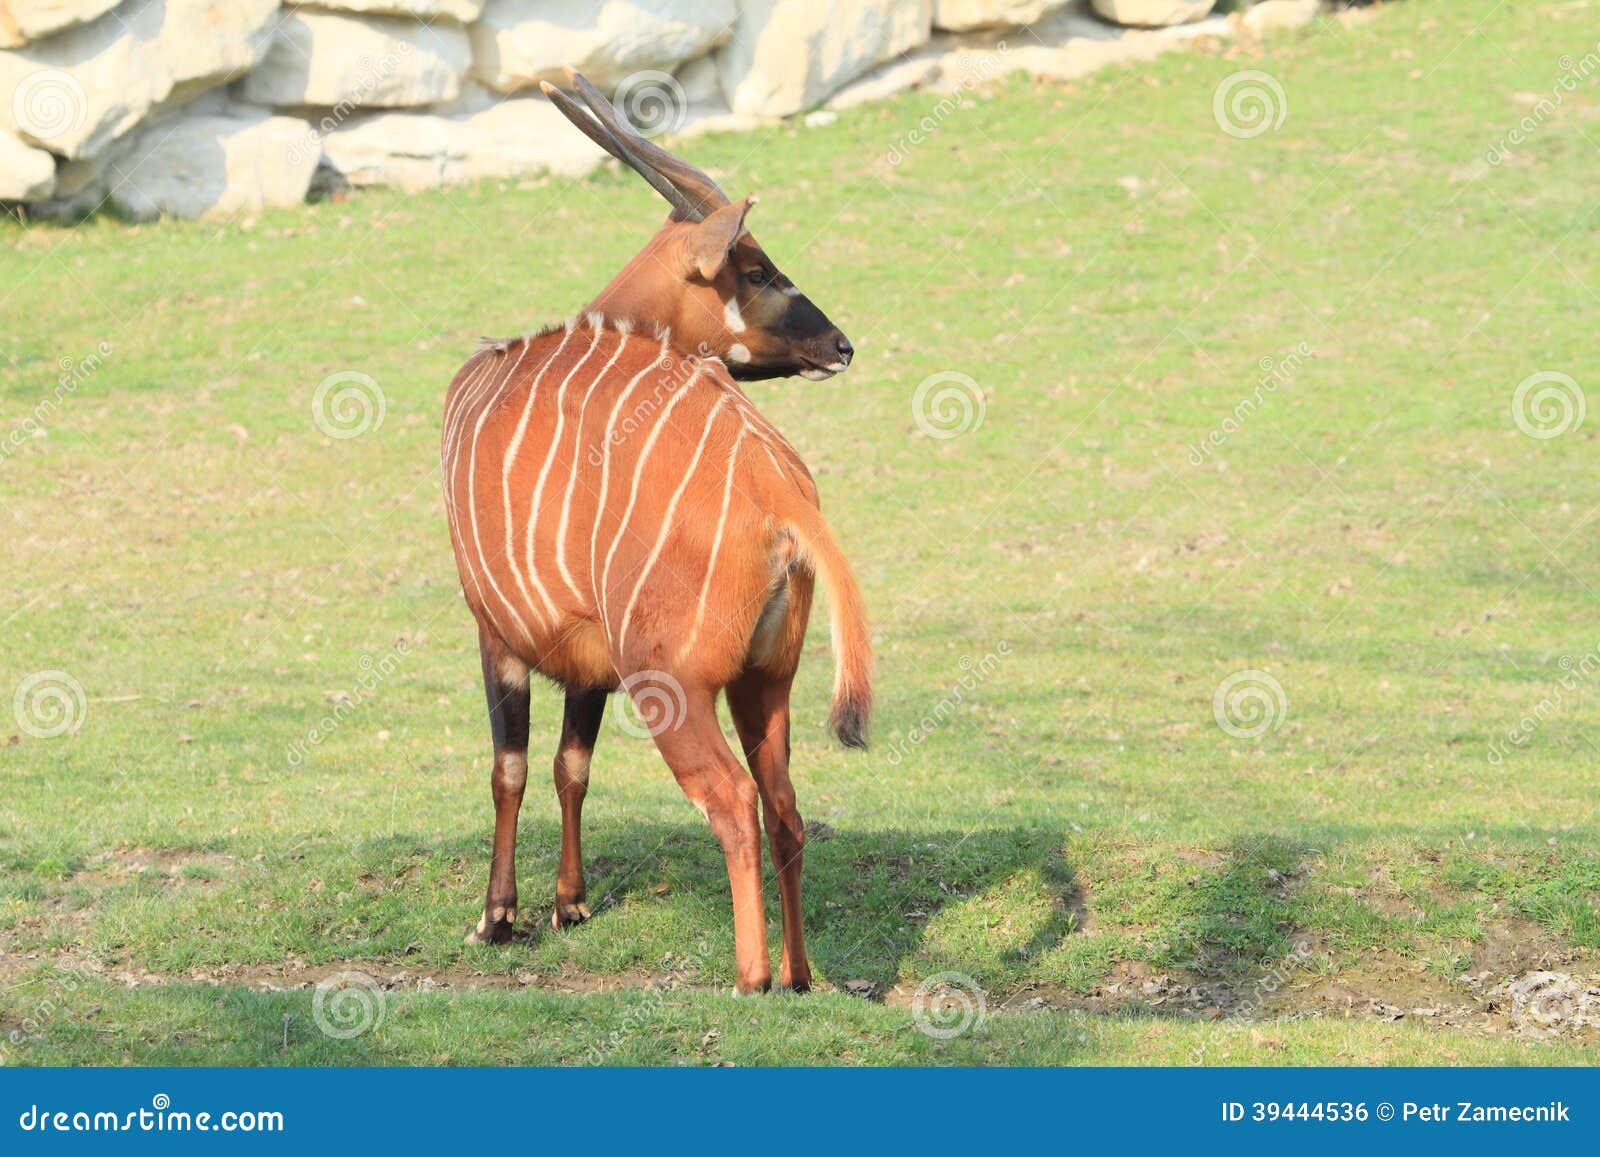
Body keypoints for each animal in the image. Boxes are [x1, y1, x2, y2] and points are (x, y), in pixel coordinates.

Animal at [439, 71, 871, 994]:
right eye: (755, 266)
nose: (840, 345)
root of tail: (783, 495)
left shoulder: (498, 634)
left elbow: (510, 767)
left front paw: (498, 917)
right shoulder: (588, 662)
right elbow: (572, 765)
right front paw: (568, 903)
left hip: (674, 686)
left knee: (735, 803)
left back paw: (751, 978)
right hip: (763, 685)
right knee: (785, 806)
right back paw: (799, 975)